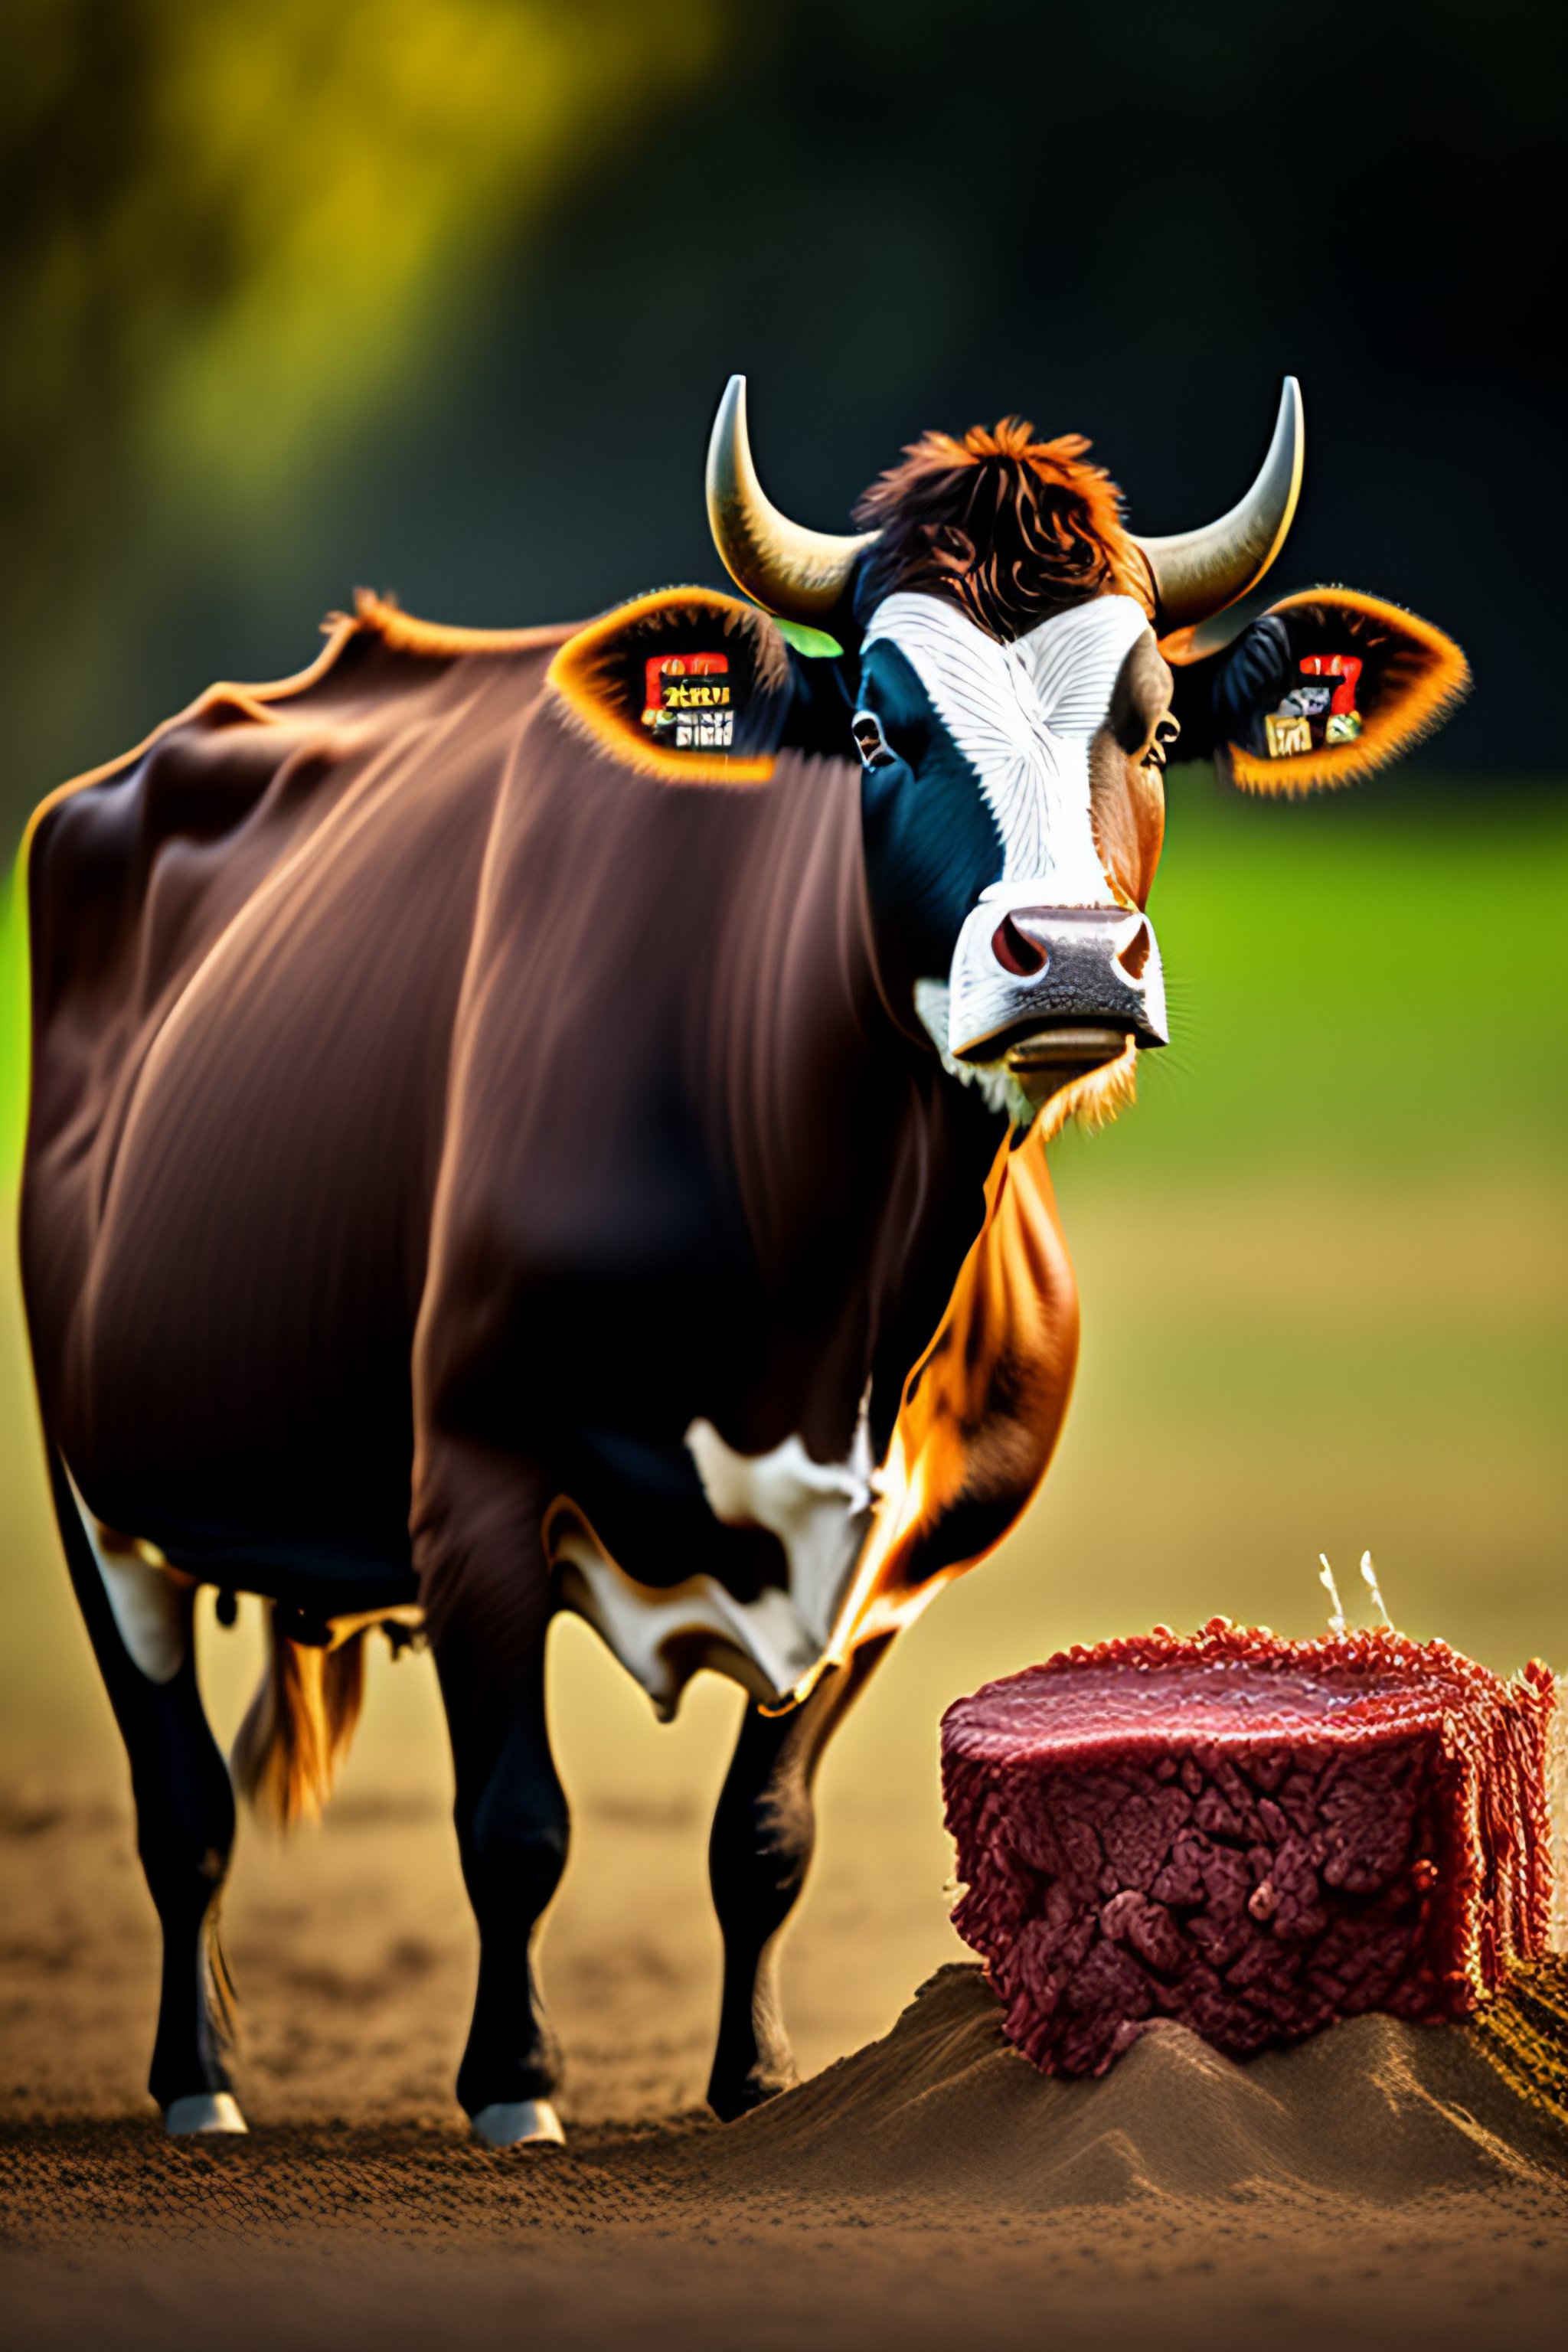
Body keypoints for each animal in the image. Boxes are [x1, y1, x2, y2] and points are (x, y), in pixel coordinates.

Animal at [17, 376, 1468, 2145]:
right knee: (181, 1806)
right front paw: (516, 2089)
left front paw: (758, 2092)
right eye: (878, 731)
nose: (1067, 959)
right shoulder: (473, 1481)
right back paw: (199, 2080)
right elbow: (515, 1822)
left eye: (1155, 729)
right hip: (97, 1492)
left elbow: (762, 1841)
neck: (830, 1316)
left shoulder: (902, 1551)